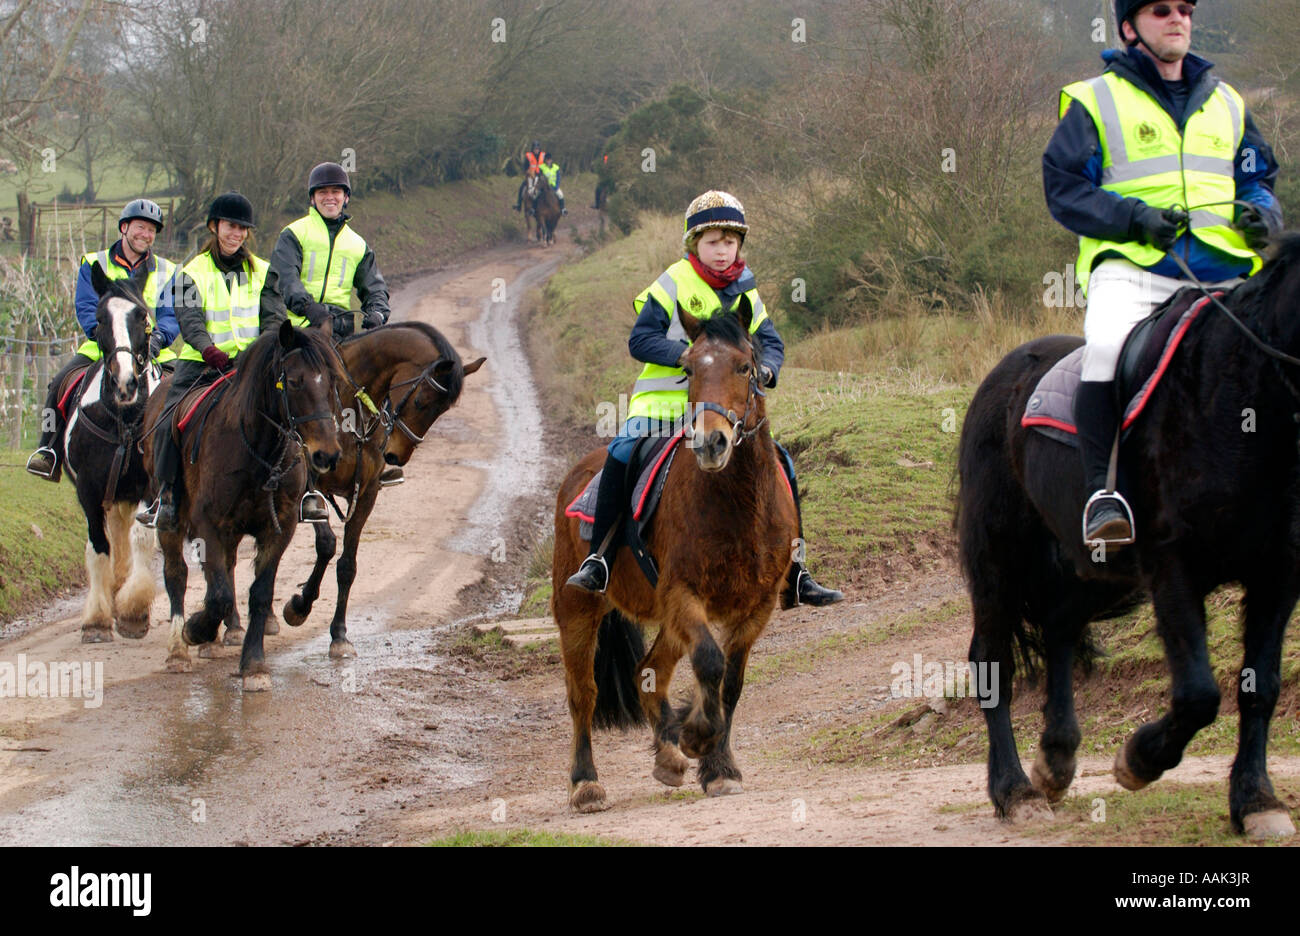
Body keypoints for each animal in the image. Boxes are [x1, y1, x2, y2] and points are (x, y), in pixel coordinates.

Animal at [62, 262, 161, 643]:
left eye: (142, 316)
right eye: (101, 318)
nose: (124, 384)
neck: (124, 419)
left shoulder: (150, 487)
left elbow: (141, 538)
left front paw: (133, 611)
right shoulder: (88, 491)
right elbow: (98, 547)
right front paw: (97, 619)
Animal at [142, 322, 345, 691]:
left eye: (333, 381)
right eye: (295, 381)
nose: (327, 455)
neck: (256, 449)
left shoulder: (278, 528)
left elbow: (259, 593)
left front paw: (253, 664)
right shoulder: (207, 524)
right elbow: (218, 594)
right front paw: (196, 629)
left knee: (227, 569)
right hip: (171, 520)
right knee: (178, 574)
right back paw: (179, 649)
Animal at [276, 322, 485, 656]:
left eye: (441, 412)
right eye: (420, 401)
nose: (396, 455)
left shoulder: (366, 493)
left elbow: (347, 565)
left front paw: (339, 634)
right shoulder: (313, 488)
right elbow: (327, 545)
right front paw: (299, 607)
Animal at [551, 302, 798, 812]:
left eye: (744, 367)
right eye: (688, 369)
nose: (711, 443)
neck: (736, 504)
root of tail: (579, 471)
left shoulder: (756, 607)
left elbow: (731, 683)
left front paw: (718, 765)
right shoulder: (684, 593)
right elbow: (709, 662)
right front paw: (699, 735)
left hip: (665, 619)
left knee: (649, 671)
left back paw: (667, 755)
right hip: (578, 609)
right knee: (582, 693)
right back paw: (586, 783)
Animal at [956, 235, 1300, 839]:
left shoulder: (1277, 574)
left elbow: (1261, 688)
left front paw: (1258, 801)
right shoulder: (1172, 566)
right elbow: (1198, 694)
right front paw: (1138, 759)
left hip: (1093, 571)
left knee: (1060, 630)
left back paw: (1056, 759)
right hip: (998, 561)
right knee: (993, 661)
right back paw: (1015, 791)